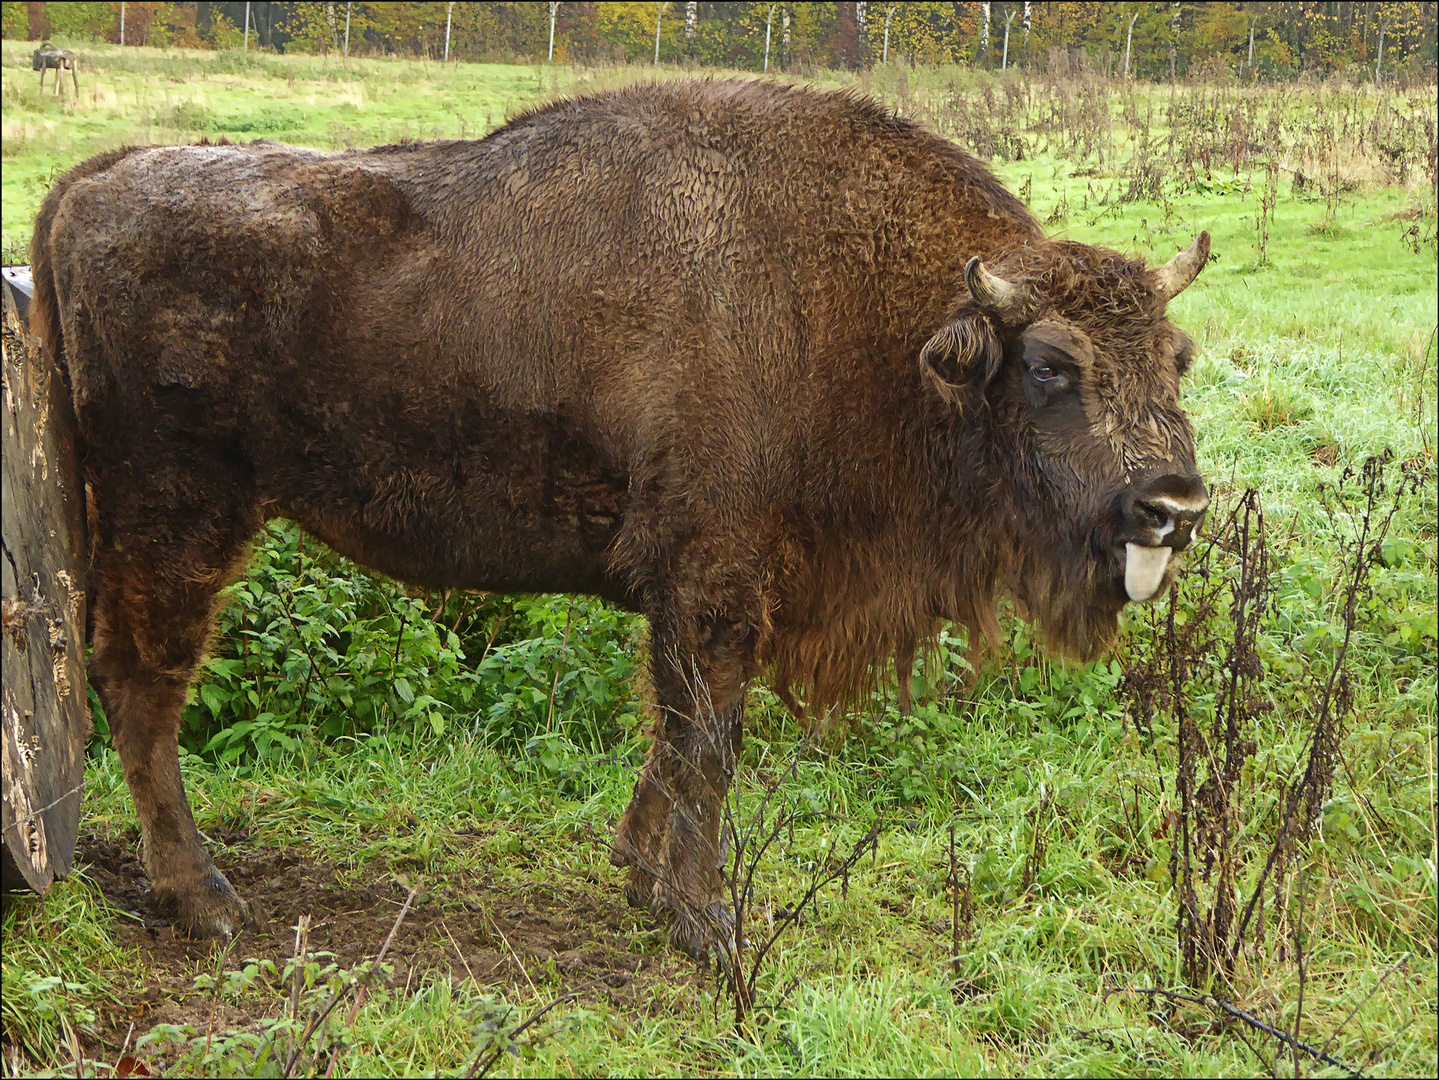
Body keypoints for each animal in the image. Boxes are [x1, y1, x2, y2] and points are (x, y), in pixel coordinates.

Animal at [28, 78, 1208, 954]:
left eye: (1177, 356)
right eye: (1050, 365)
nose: (1172, 504)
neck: (885, 330)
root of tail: (93, 180)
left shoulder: (712, 592)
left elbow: (679, 735)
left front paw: (642, 878)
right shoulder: (710, 580)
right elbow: (707, 739)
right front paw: (703, 920)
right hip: (178, 516)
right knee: (141, 682)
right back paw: (206, 901)